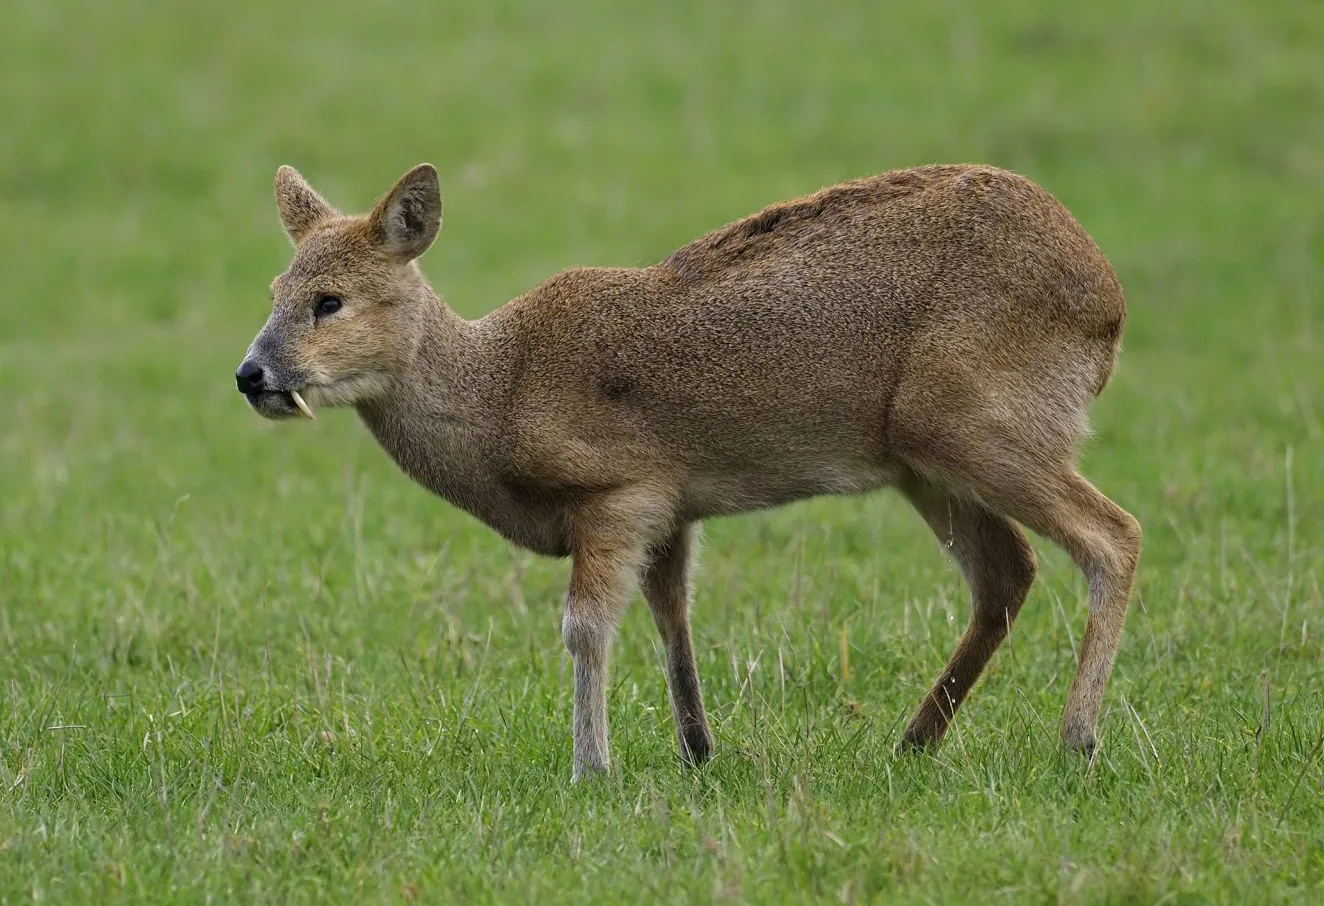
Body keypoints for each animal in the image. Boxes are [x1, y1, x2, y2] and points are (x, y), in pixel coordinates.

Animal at [235, 161, 1142, 780]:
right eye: (274, 287)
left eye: (329, 300)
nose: (252, 374)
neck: (499, 395)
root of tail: (1108, 301)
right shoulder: (674, 507)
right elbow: (673, 620)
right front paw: (700, 749)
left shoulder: (619, 492)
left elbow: (586, 626)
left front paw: (591, 768)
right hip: (926, 460)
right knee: (1007, 574)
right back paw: (915, 740)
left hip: (977, 422)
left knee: (1113, 536)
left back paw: (1076, 741)